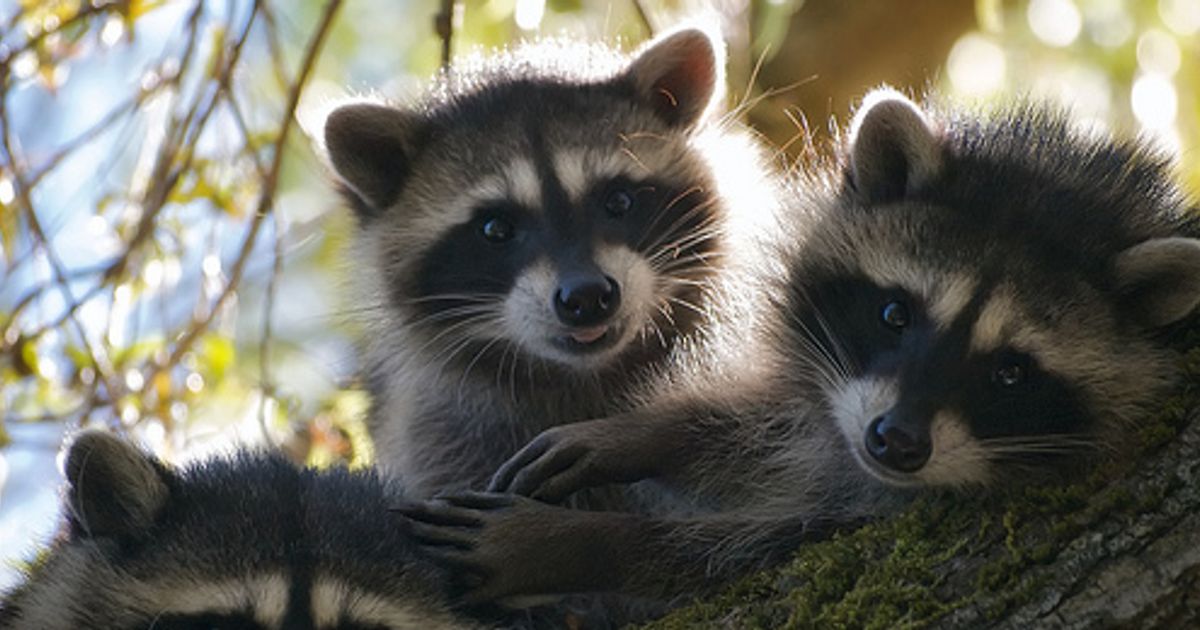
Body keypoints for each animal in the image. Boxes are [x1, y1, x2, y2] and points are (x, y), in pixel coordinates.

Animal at [401, 88, 1200, 605]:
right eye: (893, 313)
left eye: (1010, 372)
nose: (895, 442)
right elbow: (765, 423)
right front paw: (645, 432)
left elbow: (755, 547)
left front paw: (579, 543)